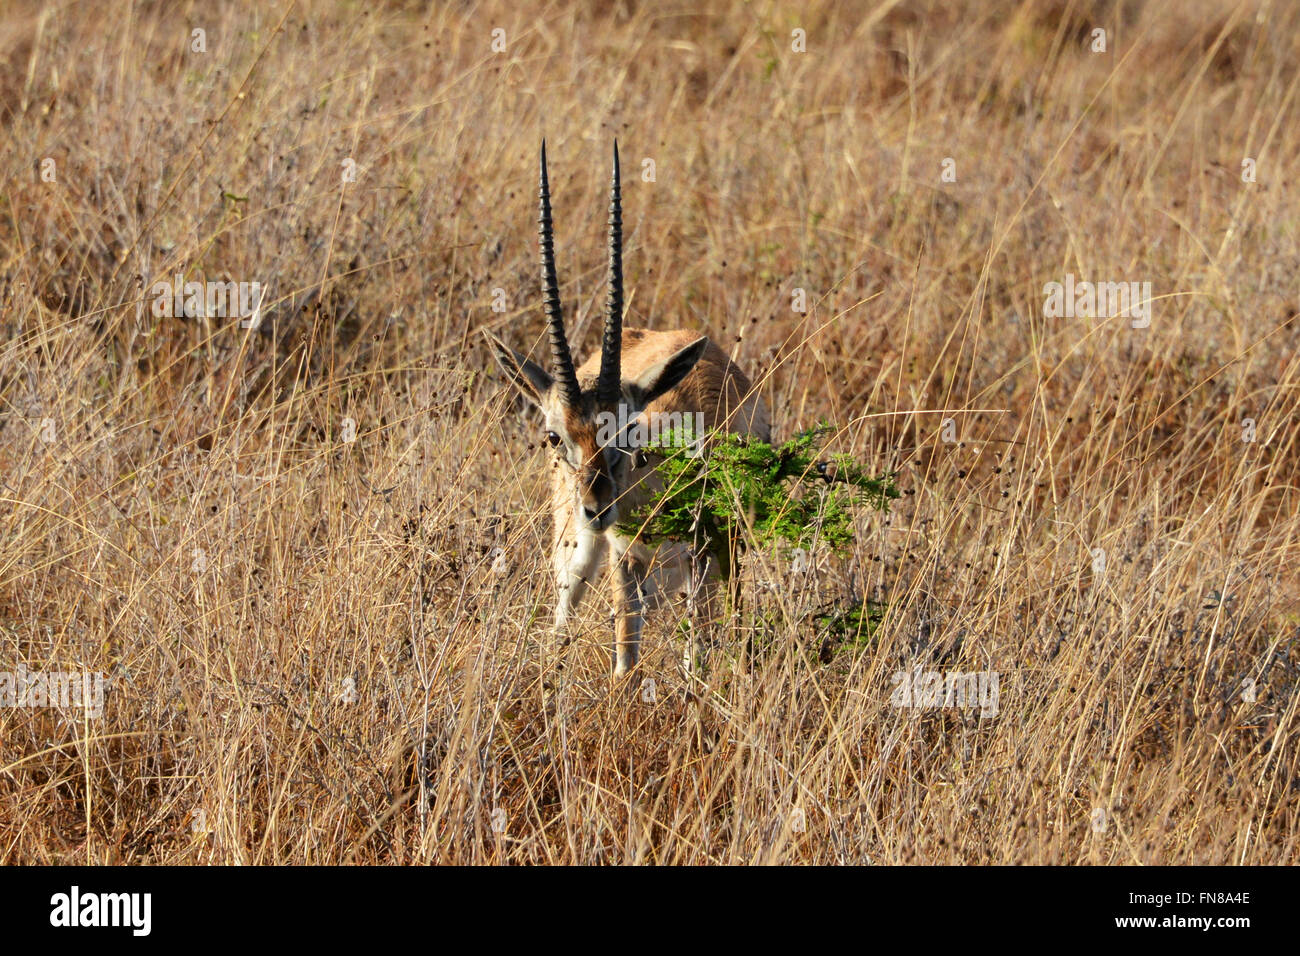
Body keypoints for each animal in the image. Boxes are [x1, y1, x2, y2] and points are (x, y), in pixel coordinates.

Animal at [484, 142, 770, 678]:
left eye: (626, 432)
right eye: (554, 436)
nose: (598, 507)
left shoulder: (715, 552)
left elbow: (698, 659)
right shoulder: (623, 557)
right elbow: (625, 664)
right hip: (577, 550)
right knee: (561, 617)